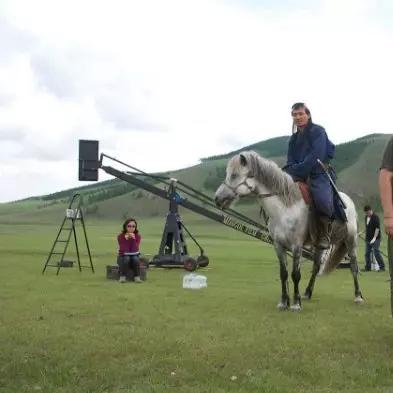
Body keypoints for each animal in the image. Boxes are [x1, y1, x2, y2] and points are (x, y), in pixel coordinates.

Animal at [213, 150, 362, 310]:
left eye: (234, 175)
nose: (217, 199)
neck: (284, 209)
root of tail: (349, 201)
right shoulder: (278, 245)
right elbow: (283, 273)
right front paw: (284, 301)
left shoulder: (296, 246)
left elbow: (295, 274)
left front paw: (296, 303)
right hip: (319, 244)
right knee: (316, 267)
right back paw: (307, 293)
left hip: (351, 240)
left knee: (353, 266)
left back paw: (358, 296)